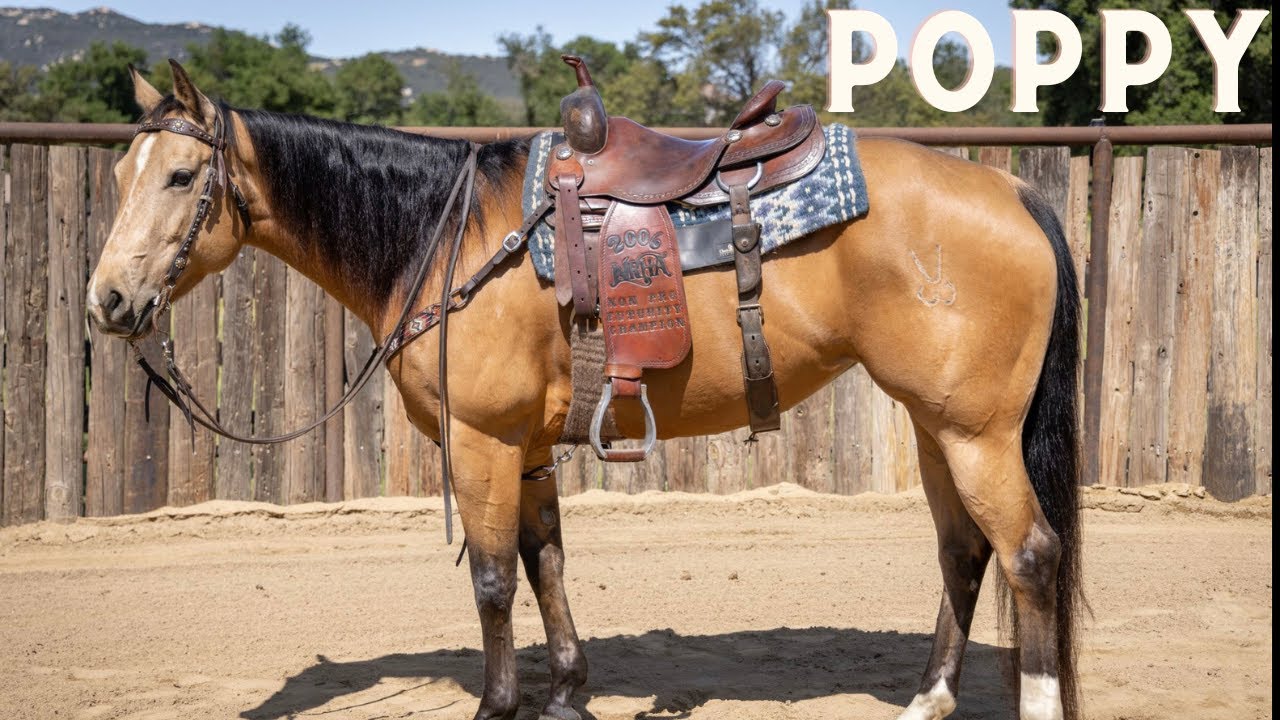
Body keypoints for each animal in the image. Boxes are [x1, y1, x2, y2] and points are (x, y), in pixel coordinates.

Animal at [87, 62, 1084, 720]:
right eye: (119, 174)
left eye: (182, 175)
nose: (107, 301)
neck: (443, 238)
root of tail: (1010, 188)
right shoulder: (528, 449)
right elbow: (547, 563)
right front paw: (566, 694)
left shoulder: (482, 441)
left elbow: (492, 579)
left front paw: (497, 706)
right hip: (934, 425)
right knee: (963, 552)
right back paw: (927, 701)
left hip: (977, 433)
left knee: (1031, 553)